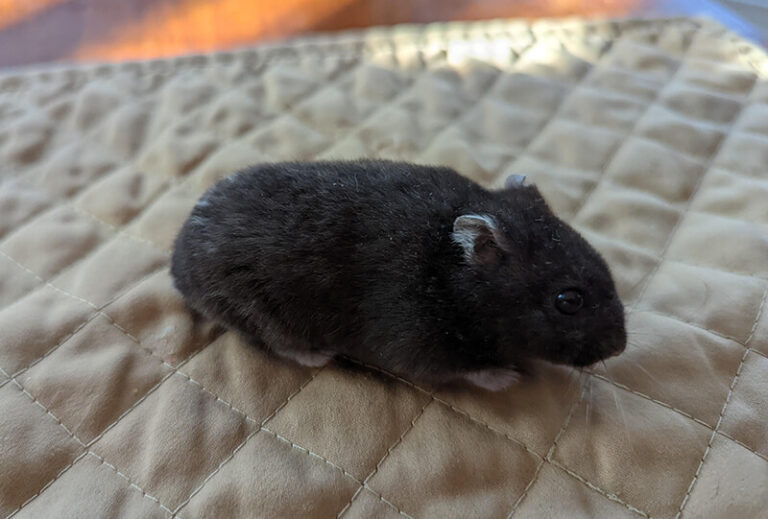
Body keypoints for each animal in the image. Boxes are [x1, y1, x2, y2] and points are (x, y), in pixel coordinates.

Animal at [171, 160, 625, 391]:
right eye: (569, 301)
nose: (620, 348)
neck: (451, 274)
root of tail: (177, 266)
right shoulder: (417, 344)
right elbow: (464, 370)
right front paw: (507, 376)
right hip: (260, 309)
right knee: (279, 343)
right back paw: (318, 355)